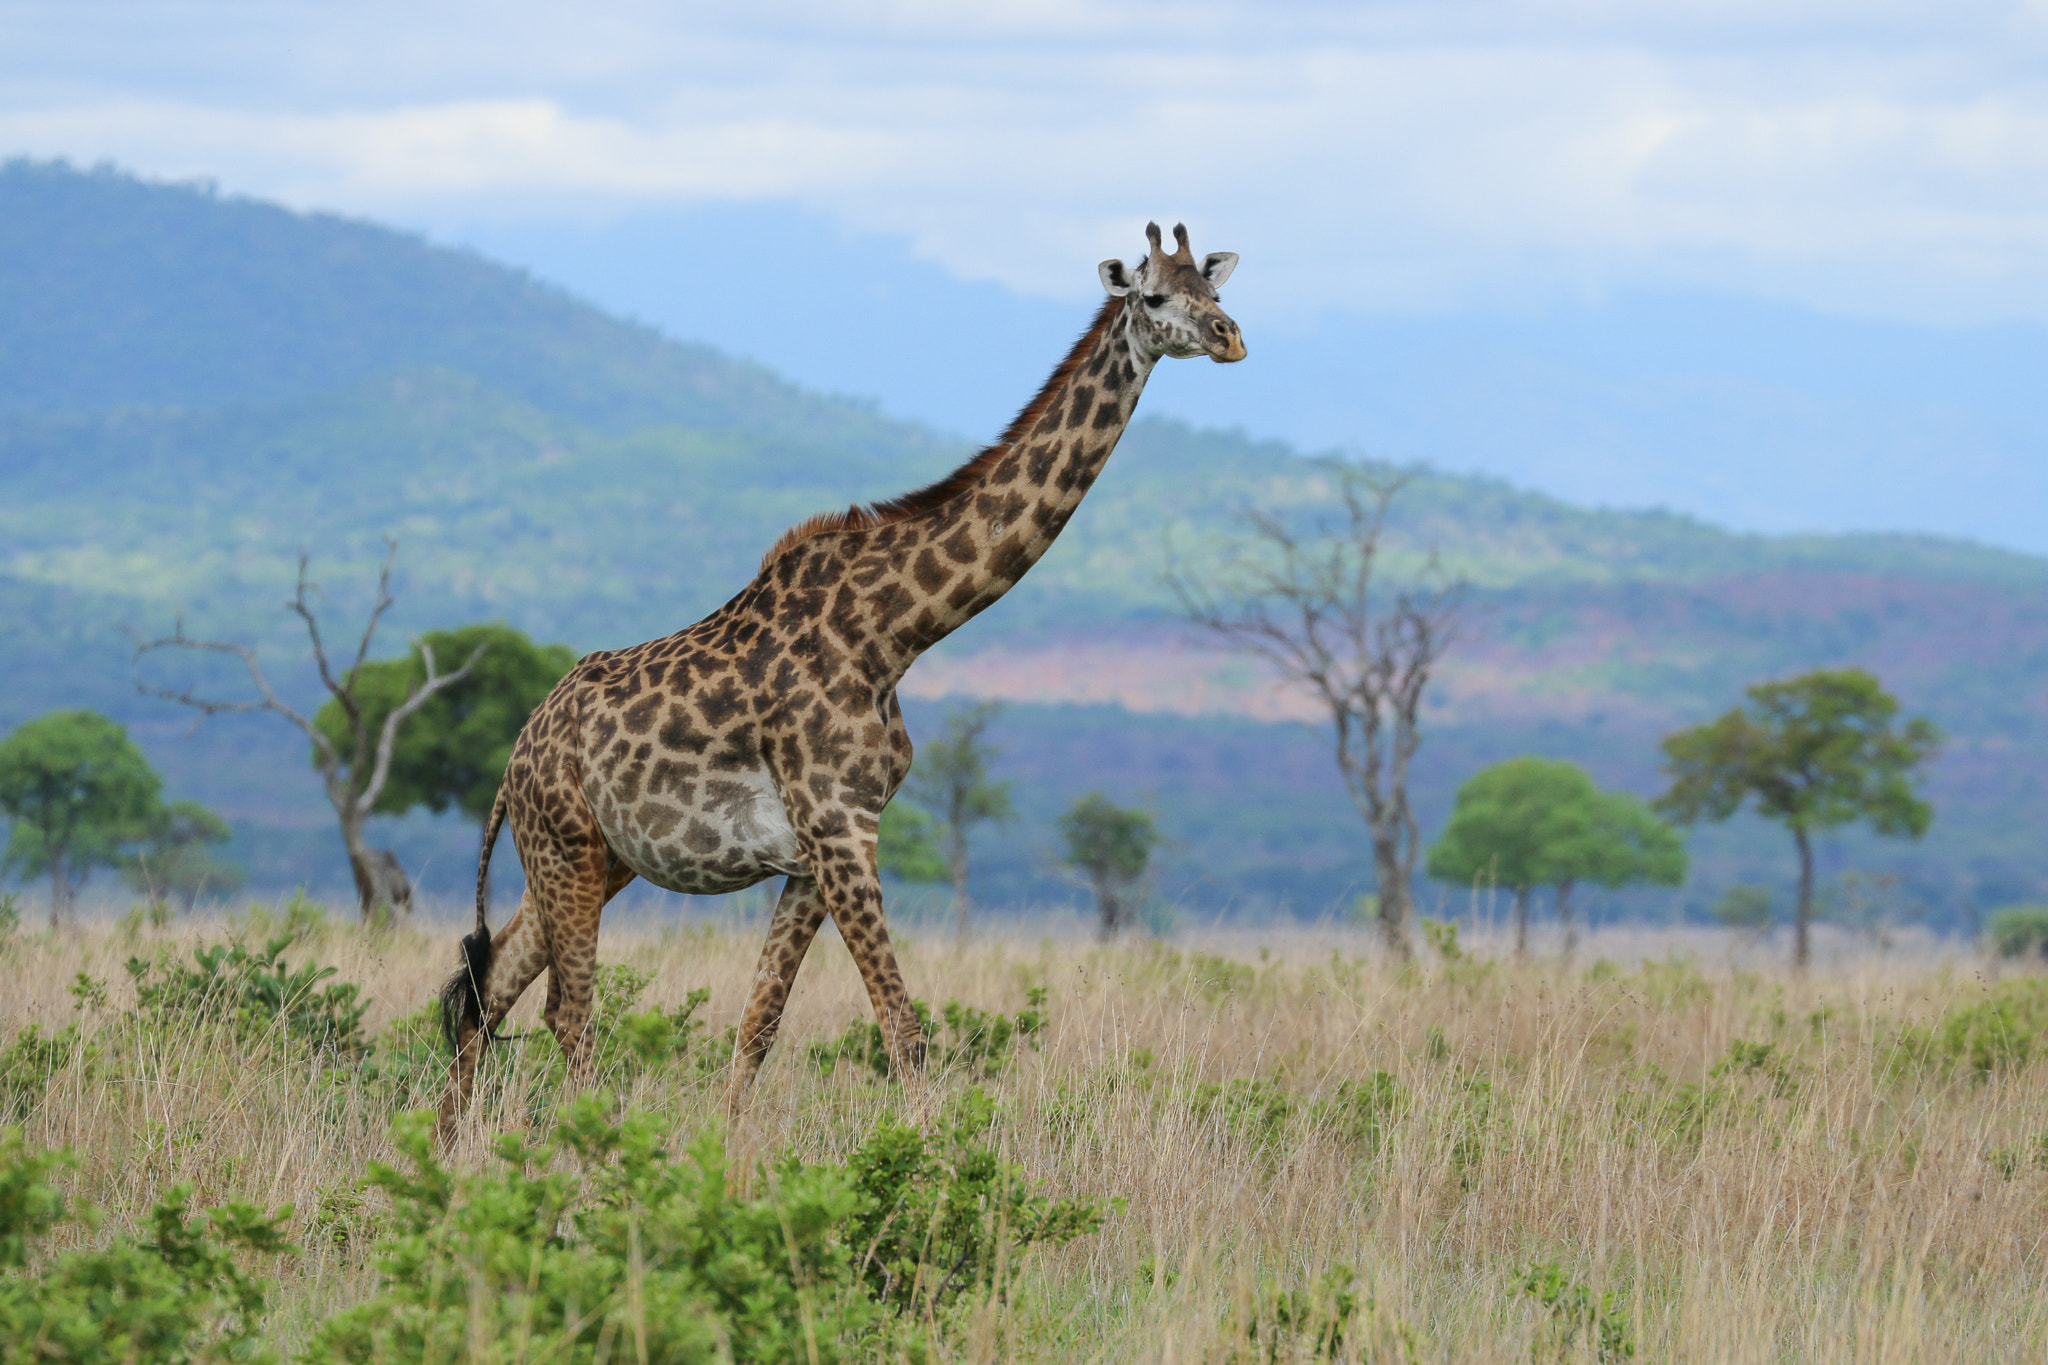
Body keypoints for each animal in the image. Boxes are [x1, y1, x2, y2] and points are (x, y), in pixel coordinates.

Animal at [435, 222, 1244, 1139]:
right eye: (1155, 295)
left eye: (1213, 288)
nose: (1230, 337)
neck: (895, 634)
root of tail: (515, 756)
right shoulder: (840, 826)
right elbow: (904, 1026)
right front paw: (932, 1160)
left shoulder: (814, 851)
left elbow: (759, 1023)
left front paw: (729, 1148)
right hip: (565, 844)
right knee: (564, 1011)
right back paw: (581, 1145)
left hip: (596, 858)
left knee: (490, 987)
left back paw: (446, 1149)